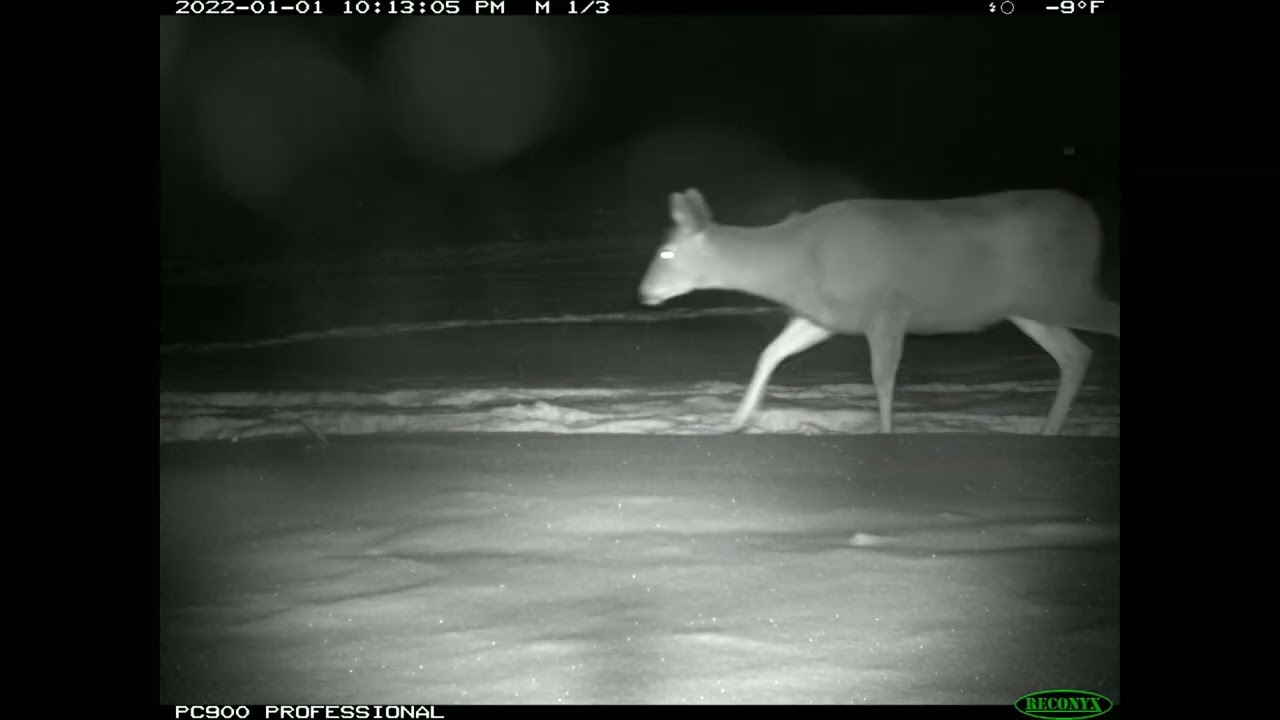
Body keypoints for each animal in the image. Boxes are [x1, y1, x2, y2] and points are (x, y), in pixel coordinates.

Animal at [637, 188, 1120, 436]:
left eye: (665, 252)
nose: (643, 293)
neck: (795, 261)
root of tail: (1093, 218)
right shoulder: (824, 317)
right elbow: (770, 353)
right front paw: (734, 424)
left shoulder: (887, 308)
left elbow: (883, 379)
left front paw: (885, 436)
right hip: (1030, 306)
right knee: (1075, 355)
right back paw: (1047, 432)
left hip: (1066, 291)